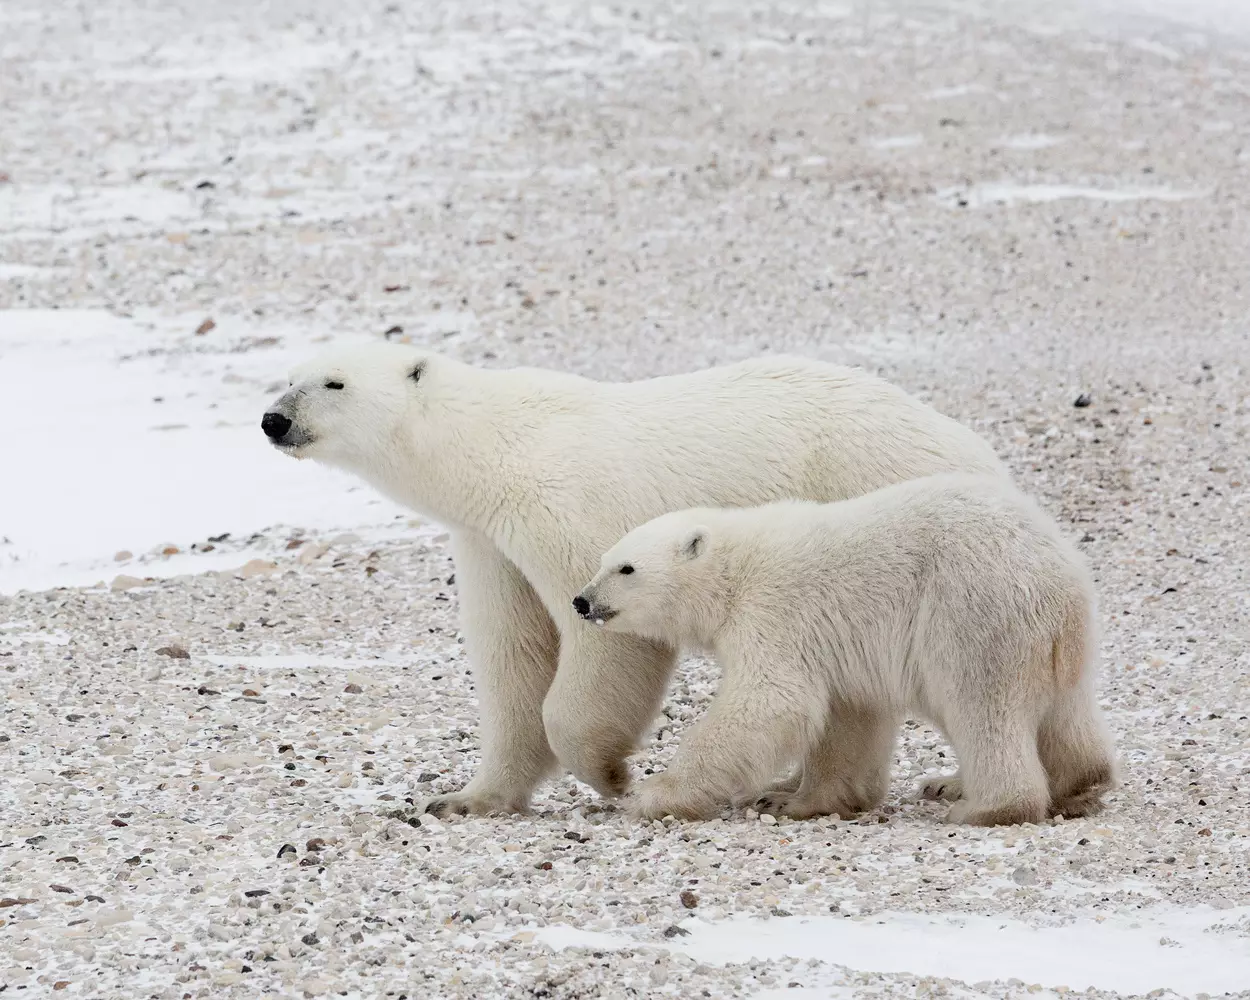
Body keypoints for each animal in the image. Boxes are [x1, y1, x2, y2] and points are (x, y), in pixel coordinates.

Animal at [261, 340, 1005, 815]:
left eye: (335, 382)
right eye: (287, 374)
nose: (274, 419)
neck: (494, 449)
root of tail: (975, 449)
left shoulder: (568, 506)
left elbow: (606, 639)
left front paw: (611, 774)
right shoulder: (489, 540)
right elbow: (514, 655)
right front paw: (467, 797)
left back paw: (940, 783)